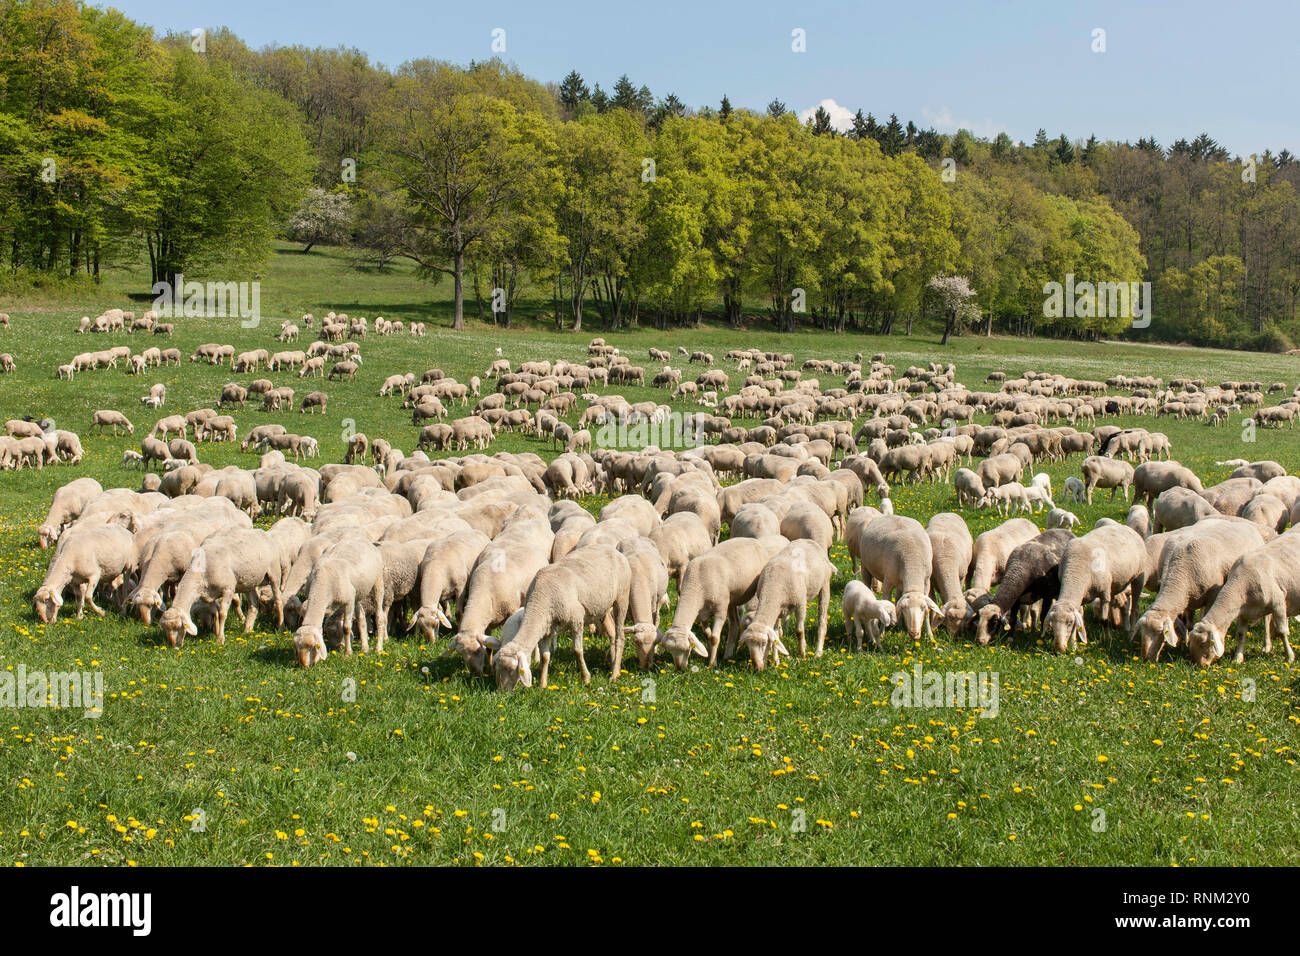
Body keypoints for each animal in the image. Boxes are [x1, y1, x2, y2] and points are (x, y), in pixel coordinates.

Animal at [736, 539, 835, 668]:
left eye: (763, 643)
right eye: (748, 645)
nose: (757, 667)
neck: (773, 589)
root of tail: (808, 540)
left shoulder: (801, 604)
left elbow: (799, 631)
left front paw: (802, 652)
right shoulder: (777, 611)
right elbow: (776, 635)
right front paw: (776, 661)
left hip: (825, 585)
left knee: (822, 621)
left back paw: (818, 652)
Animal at [1043, 524, 1148, 653]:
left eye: (1069, 622)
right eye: (1052, 623)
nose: (1058, 649)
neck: (1076, 570)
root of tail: (1123, 526)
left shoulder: (1104, 593)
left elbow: (1104, 620)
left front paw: (1107, 641)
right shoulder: (1082, 597)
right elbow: (1080, 620)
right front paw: (1074, 646)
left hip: (1139, 577)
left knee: (1134, 609)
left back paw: (1130, 636)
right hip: (1116, 583)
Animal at [1135, 520, 1265, 661]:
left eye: (1160, 632)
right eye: (1142, 632)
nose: (1146, 658)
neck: (1181, 571)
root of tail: (1245, 524)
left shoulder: (1212, 596)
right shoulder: (1187, 599)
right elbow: (1187, 623)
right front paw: (1184, 643)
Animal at [1187, 531, 1300, 666]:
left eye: (1204, 643)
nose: (1200, 665)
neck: (1241, 582)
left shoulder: (1278, 603)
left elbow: (1283, 632)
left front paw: (1289, 657)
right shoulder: (1243, 611)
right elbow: (1241, 634)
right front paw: (1237, 659)